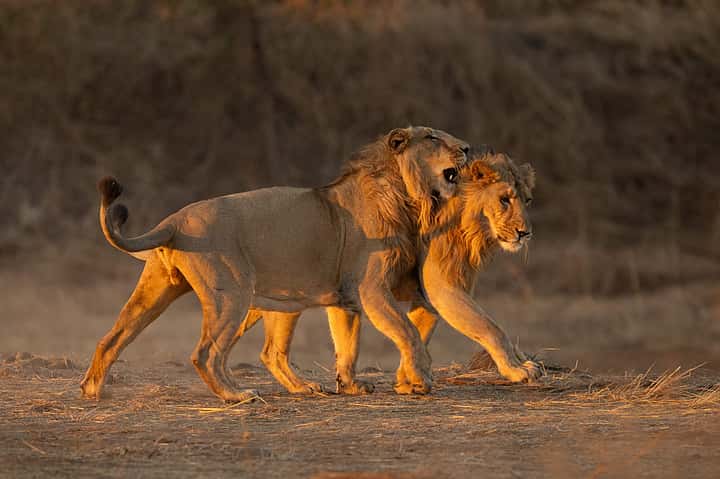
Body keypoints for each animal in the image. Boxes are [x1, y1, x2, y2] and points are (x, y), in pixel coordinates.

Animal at [80, 126, 470, 402]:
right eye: (432, 136)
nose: (467, 148)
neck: (407, 195)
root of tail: (174, 220)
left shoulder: (345, 299)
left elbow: (350, 345)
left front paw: (352, 386)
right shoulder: (371, 289)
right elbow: (407, 332)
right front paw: (422, 380)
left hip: (185, 290)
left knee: (114, 337)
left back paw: (93, 390)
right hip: (232, 294)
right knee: (206, 353)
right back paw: (236, 395)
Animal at [240, 151, 540, 394]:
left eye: (527, 200)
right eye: (504, 199)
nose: (525, 233)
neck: (471, 228)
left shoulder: (427, 295)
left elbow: (417, 331)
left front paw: (407, 380)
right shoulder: (441, 286)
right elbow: (489, 328)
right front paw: (518, 369)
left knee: (269, 352)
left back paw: (299, 387)